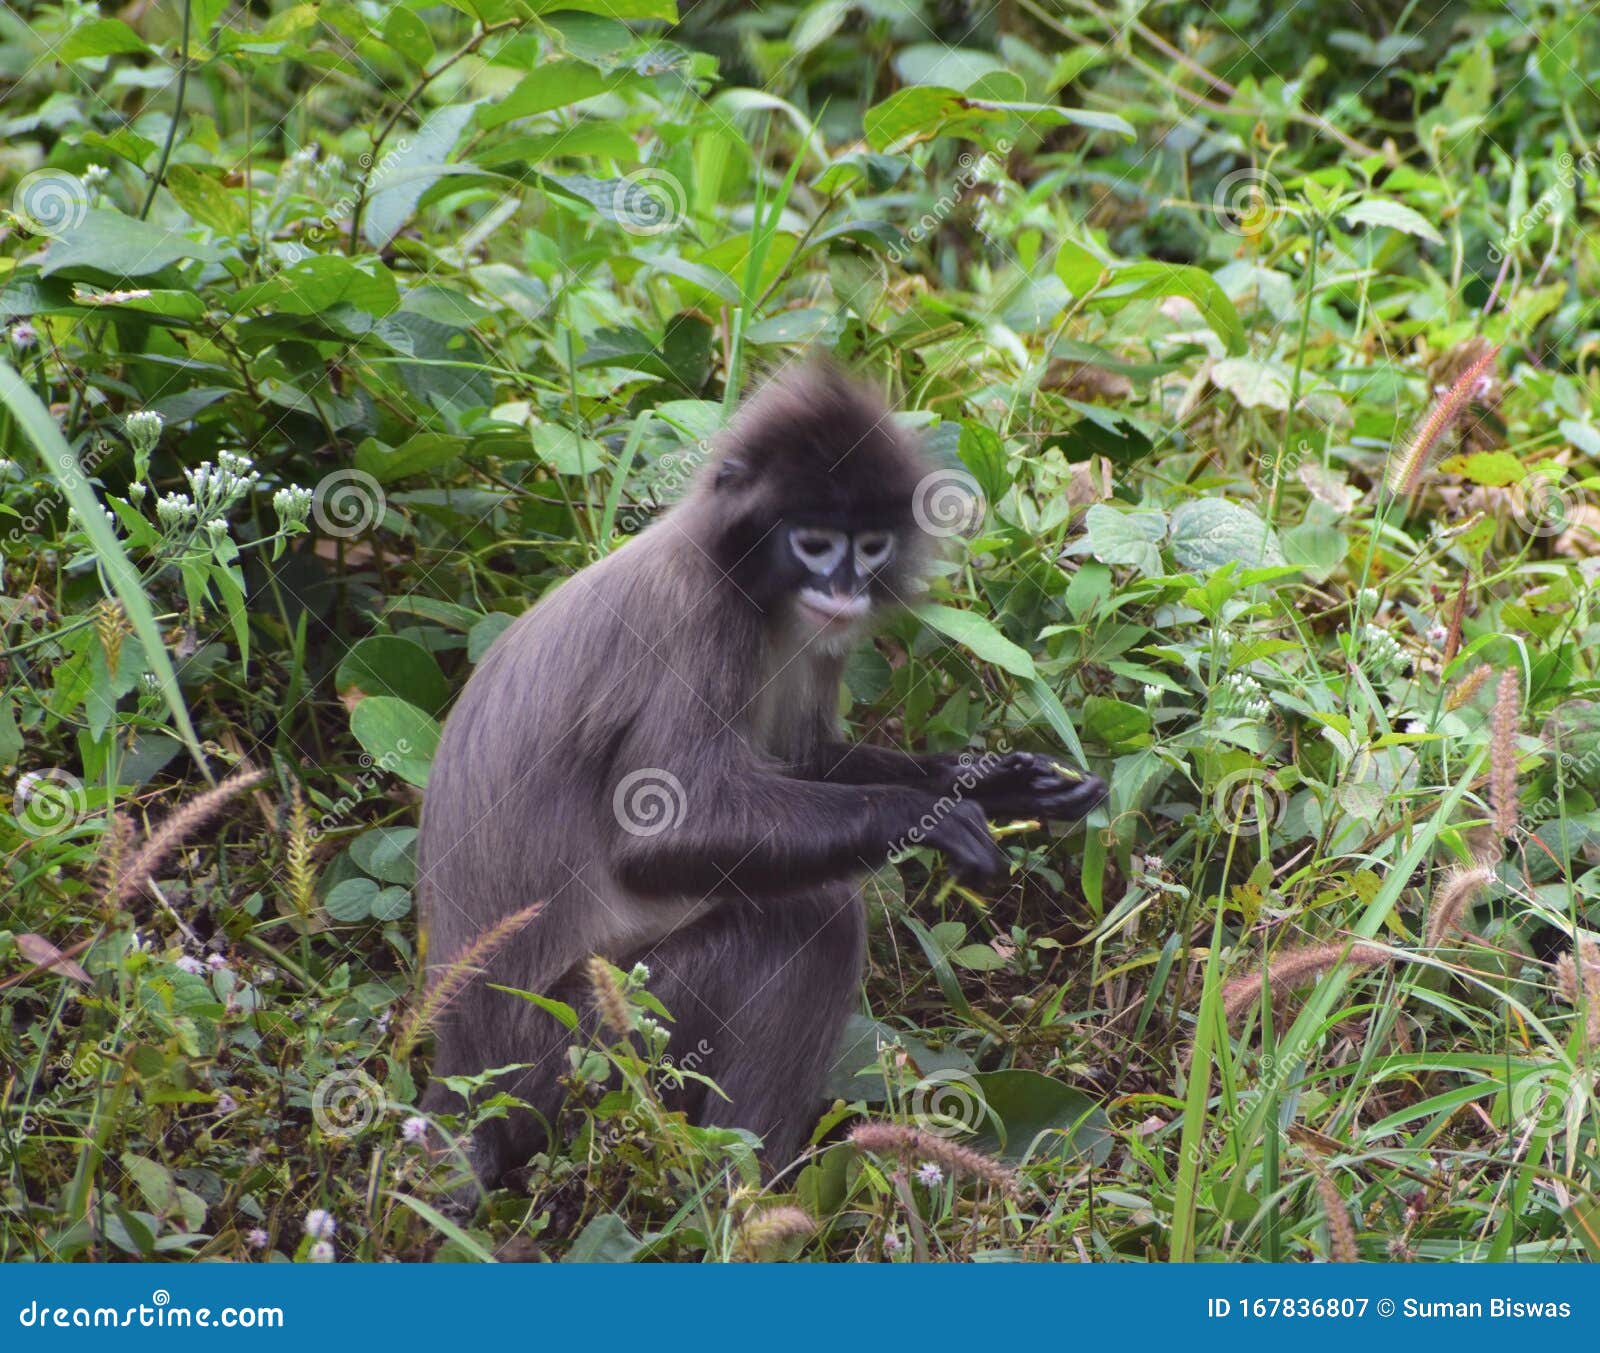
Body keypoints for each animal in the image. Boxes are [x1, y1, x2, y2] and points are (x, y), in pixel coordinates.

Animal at [416, 363, 1105, 1189]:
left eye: (871, 546)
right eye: (814, 543)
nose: (843, 590)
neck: (750, 583)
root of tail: (461, 1066)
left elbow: (804, 759)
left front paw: (1000, 781)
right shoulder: (700, 621)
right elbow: (658, 837)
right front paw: (922, 814)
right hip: (583, 1046)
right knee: (816, 917)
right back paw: (754, 1189)